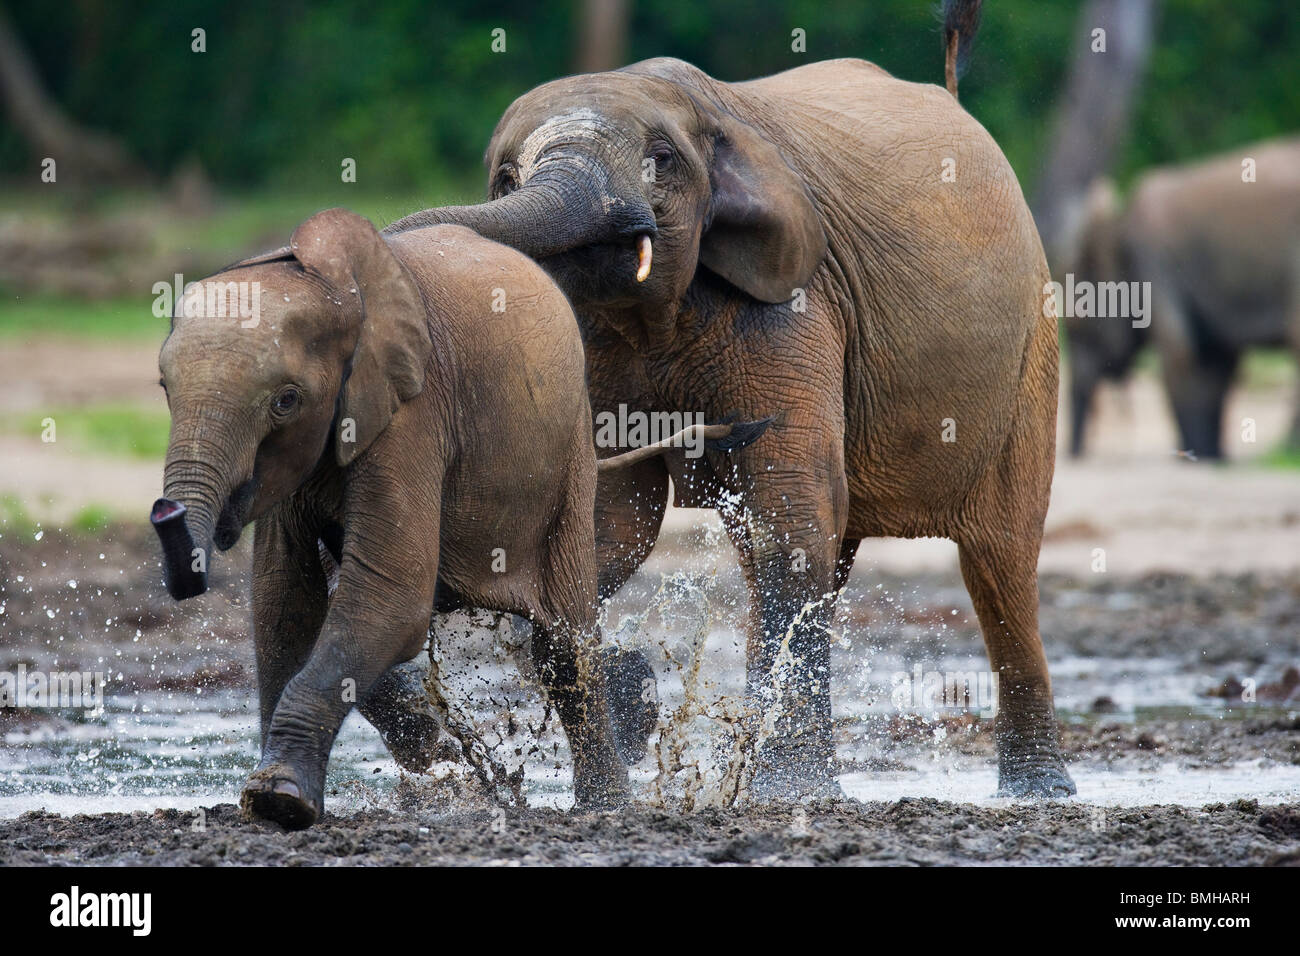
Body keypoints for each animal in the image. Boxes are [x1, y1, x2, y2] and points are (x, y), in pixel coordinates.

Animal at [150, 208, 767, 829]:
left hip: (570, 448)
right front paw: (271, 797)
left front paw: (279, 800)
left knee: (563, 646)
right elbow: (286, 603)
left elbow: (390, 597)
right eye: (163, 389)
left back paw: (604, 806)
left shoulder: (414, 416)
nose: (164, 509)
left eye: (286, 401)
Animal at [386, 0, 1076, 798]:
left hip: (1031, 349)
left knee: (998, 560)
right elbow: (610, 520)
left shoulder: (798, 300)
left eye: (660, 159)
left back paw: (1037, 791)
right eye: (504, 176)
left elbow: (788, 503)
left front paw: (790, 793)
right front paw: (635, 707)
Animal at [1064, 136, 1300, 459]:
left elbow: (1180, 351)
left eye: (1078, 327)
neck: (1117, 228)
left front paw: (1198, 455)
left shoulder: (1154, 265)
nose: (1076, 455)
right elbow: (1216, 363)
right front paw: (1212, 455)